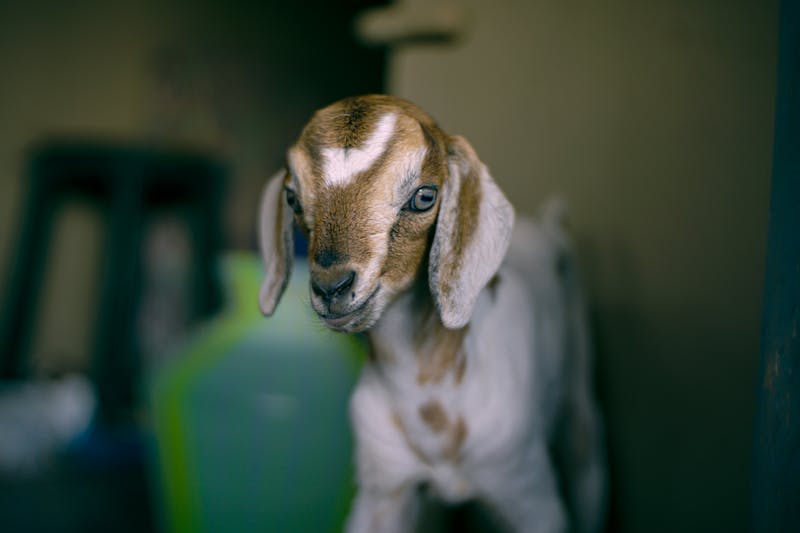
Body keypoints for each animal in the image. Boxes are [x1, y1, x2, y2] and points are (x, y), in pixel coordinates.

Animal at [257, 95, 606, 533]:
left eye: (424, 196)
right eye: (292, 198)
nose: (331, 287)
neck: (432, 405)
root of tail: (548, 225)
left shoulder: (530, 496)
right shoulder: (384, 490)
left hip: (580, 410)